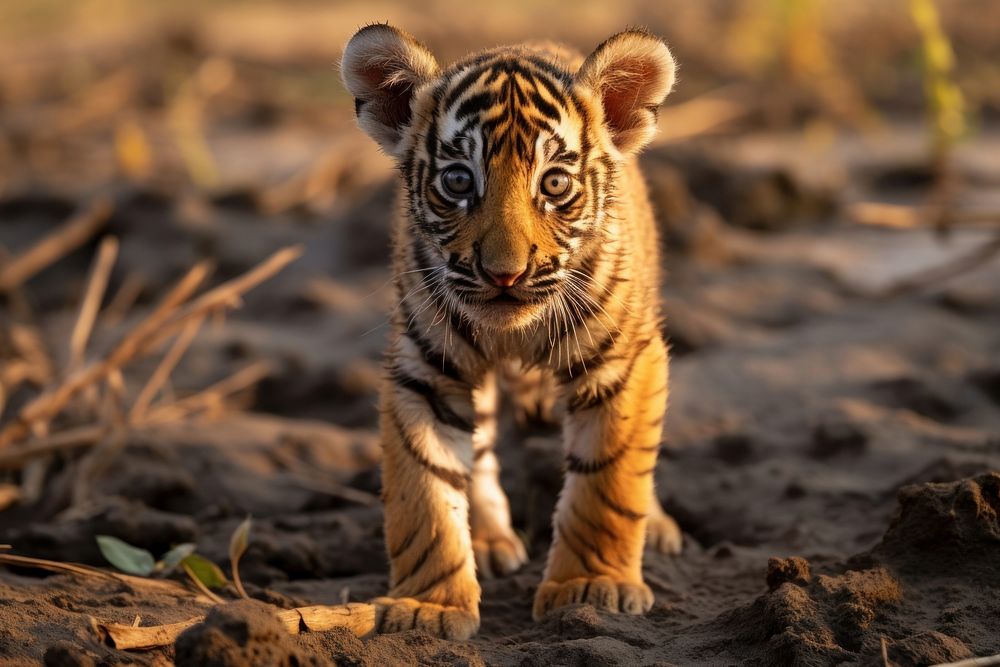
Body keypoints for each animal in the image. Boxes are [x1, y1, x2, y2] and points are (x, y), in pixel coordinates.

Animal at [340, 23, 682, 640]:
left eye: (554, 183)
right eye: (458, 181)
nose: (505, 273)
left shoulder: (625, 362)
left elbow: (609, 478)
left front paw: (589, 587)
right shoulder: (425, 372)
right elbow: (425, 492)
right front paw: (431, 607)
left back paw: (658, 529)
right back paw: (490, 541)